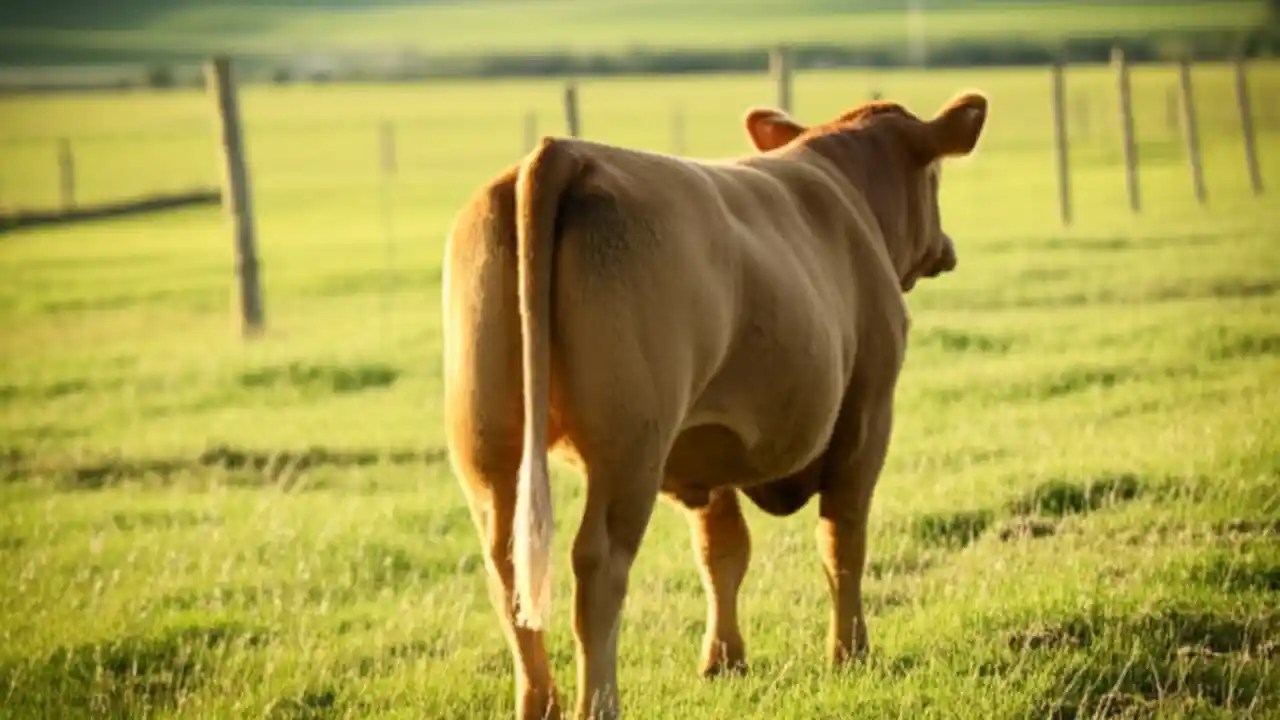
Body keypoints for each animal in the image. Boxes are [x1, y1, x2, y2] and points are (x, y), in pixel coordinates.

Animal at [443, 91, 987, 719]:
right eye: (935, 175)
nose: (947, 248)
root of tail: (566, 153)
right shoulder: (868, 415)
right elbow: (842, 539)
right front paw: (851, 654)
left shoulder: (707, 442)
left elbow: (722, 551)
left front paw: (724, 660)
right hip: (630, 449)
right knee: (599, 564)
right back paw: (599, 703)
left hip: (489, 448)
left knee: (507, 567)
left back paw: (540, 703)